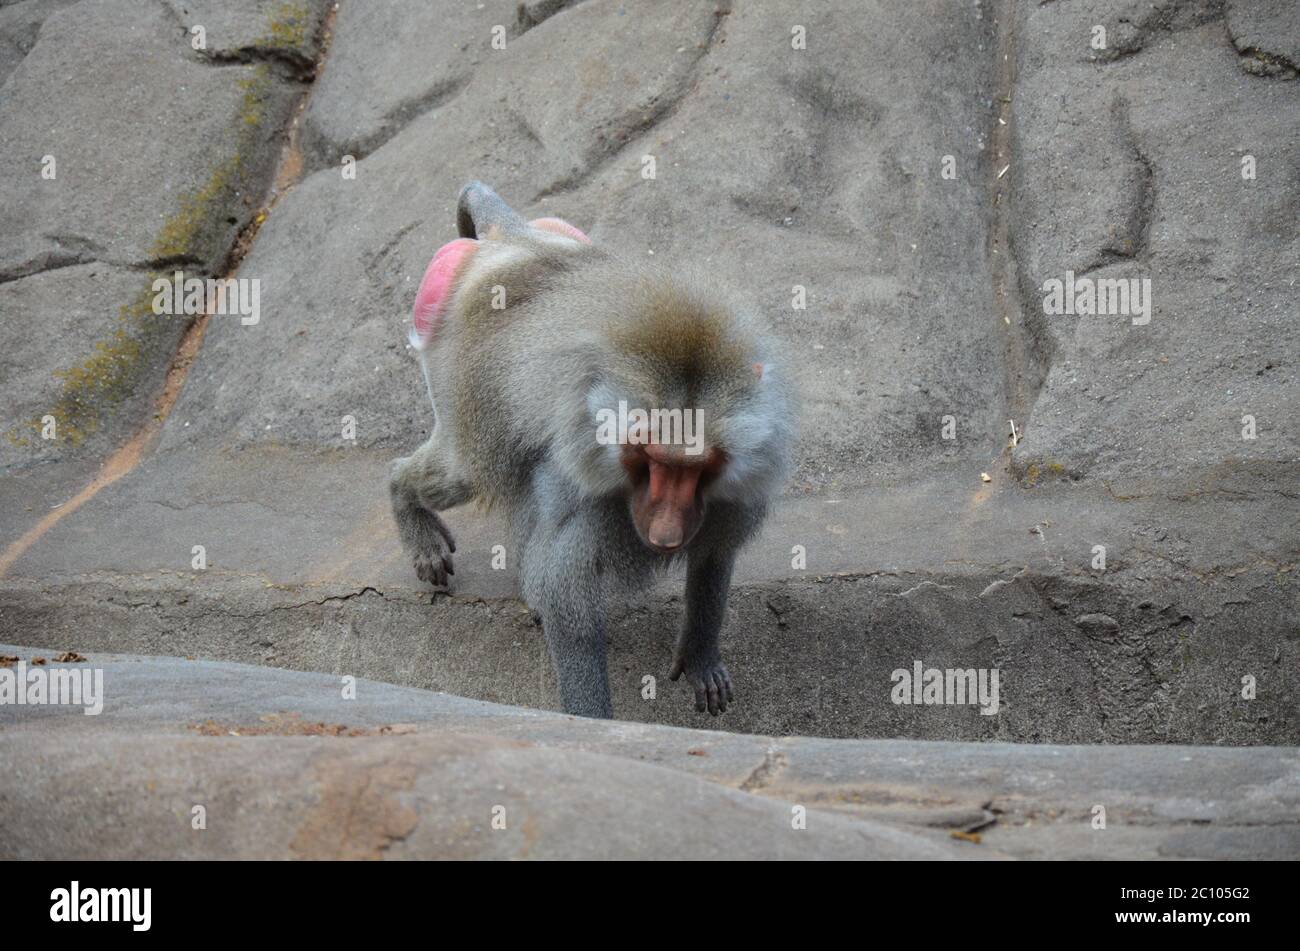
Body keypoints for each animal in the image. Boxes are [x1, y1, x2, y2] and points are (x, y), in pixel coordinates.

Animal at [389, 182, 794, 719]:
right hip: (462, 363)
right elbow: (568, 605)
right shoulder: (582, 499)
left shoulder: (730, 492)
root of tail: (516, 243)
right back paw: (409, 507)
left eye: (697, 467)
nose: (666, 533)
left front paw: (701, 654)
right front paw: (598, 725)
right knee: (463, 472)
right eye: (651, 459)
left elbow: (714, 554)